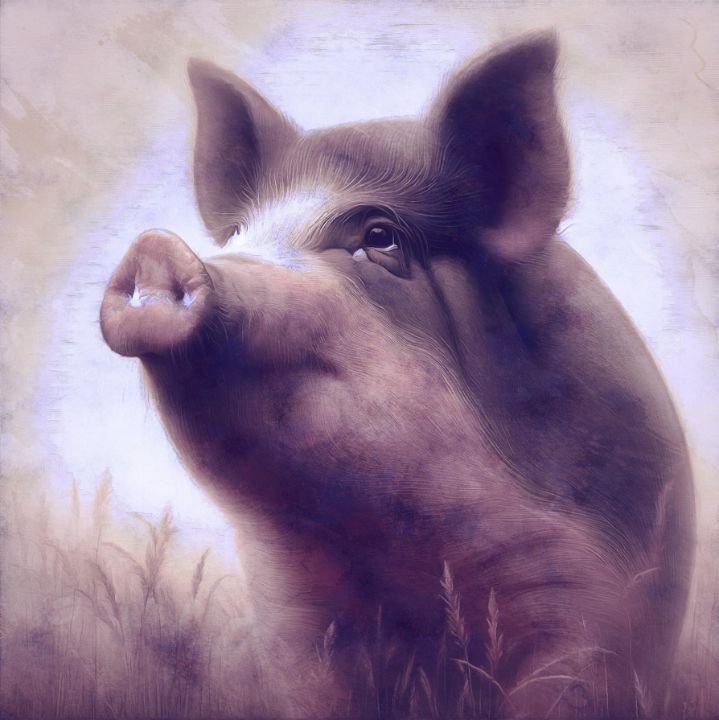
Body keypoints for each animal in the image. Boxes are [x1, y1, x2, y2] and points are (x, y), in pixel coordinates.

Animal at [100, 33, 694, 719]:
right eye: (240, 233)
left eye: (380, 237)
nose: (156, 246)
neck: (387, 554)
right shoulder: (294, 617)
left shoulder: (592, 605)